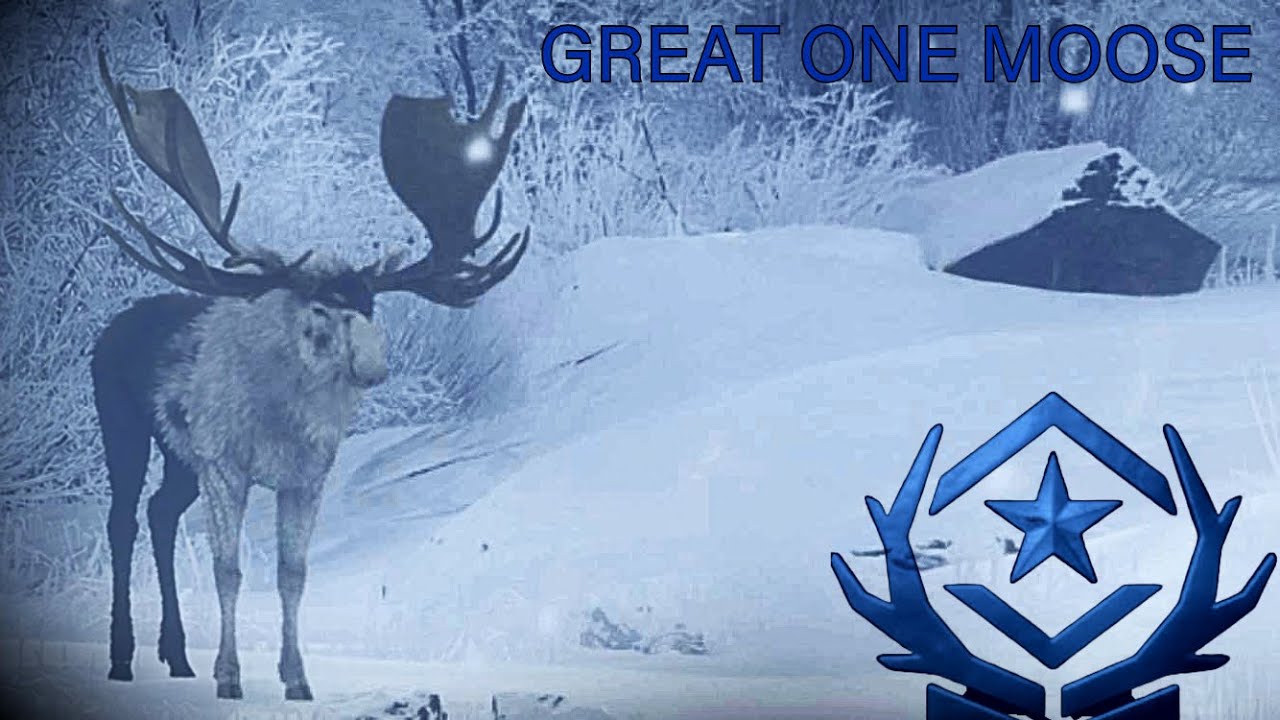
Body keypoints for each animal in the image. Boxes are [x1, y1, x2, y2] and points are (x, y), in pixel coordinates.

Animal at [90, 49, 529, 700]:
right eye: (321, 308)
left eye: (372, 307)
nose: (376, 366)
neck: (283, 425)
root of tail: (107, 328)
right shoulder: (224, 462)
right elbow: (228, 570)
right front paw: (230, 678)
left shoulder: (308, 477)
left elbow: (292, 573)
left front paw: (296, 679)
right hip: (120, 422)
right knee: (122, 519)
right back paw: (123, 658)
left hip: (180, 457)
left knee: (160, 512)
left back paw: (177, 656)